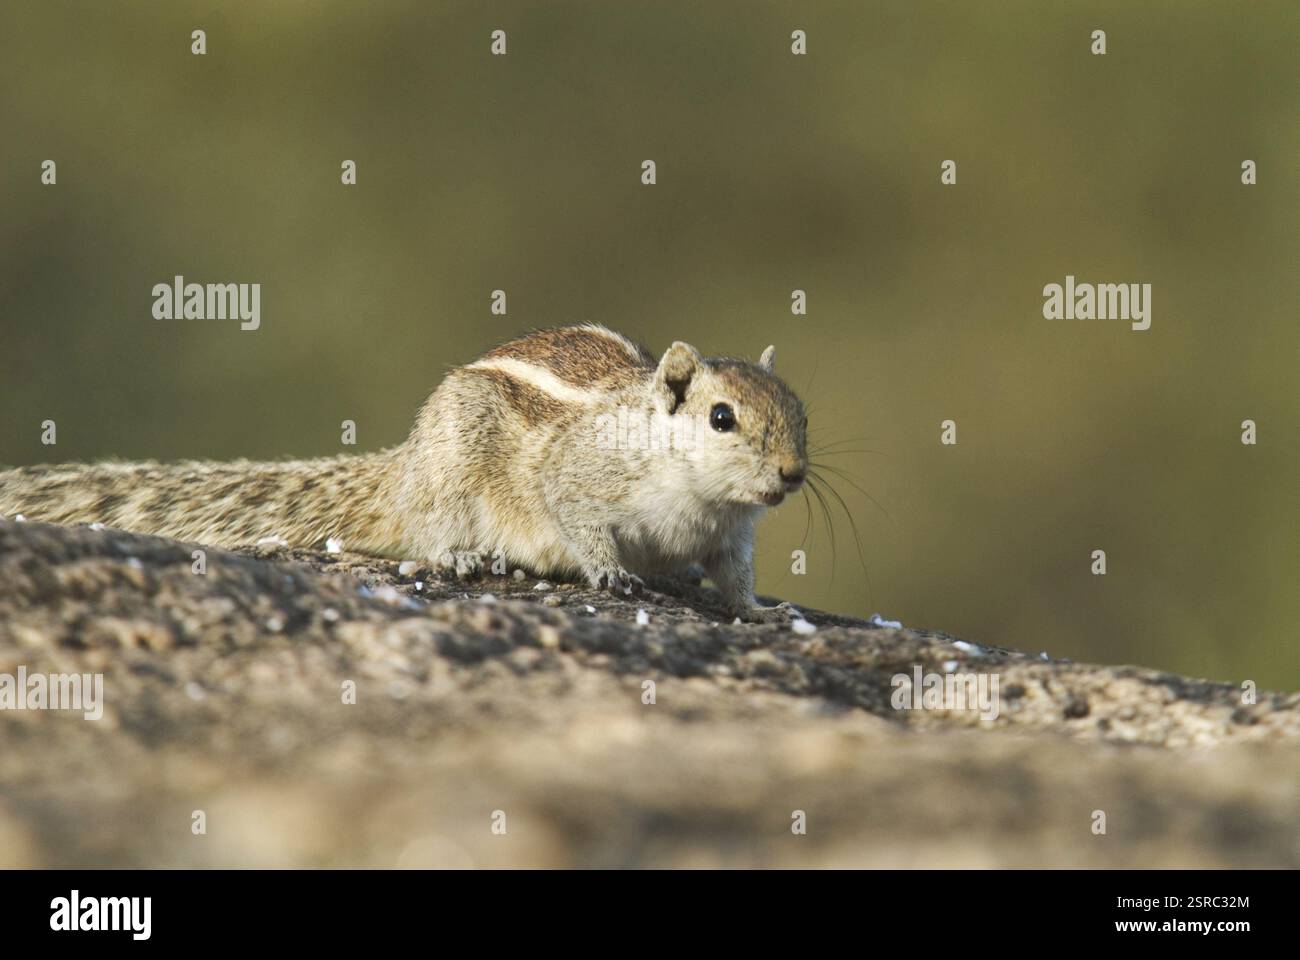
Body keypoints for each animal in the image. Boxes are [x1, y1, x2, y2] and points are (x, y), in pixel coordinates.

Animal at [0, 324, 809, 622]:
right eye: (722, 418)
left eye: (801, 411)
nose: (793, 475)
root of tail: (404, 467)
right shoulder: (580, 476)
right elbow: (577, 519)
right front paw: (610, 572)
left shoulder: (732, 536)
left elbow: (736, 577)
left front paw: (760, 611)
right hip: (451, 476)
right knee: (431, 534)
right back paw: (468, 555)